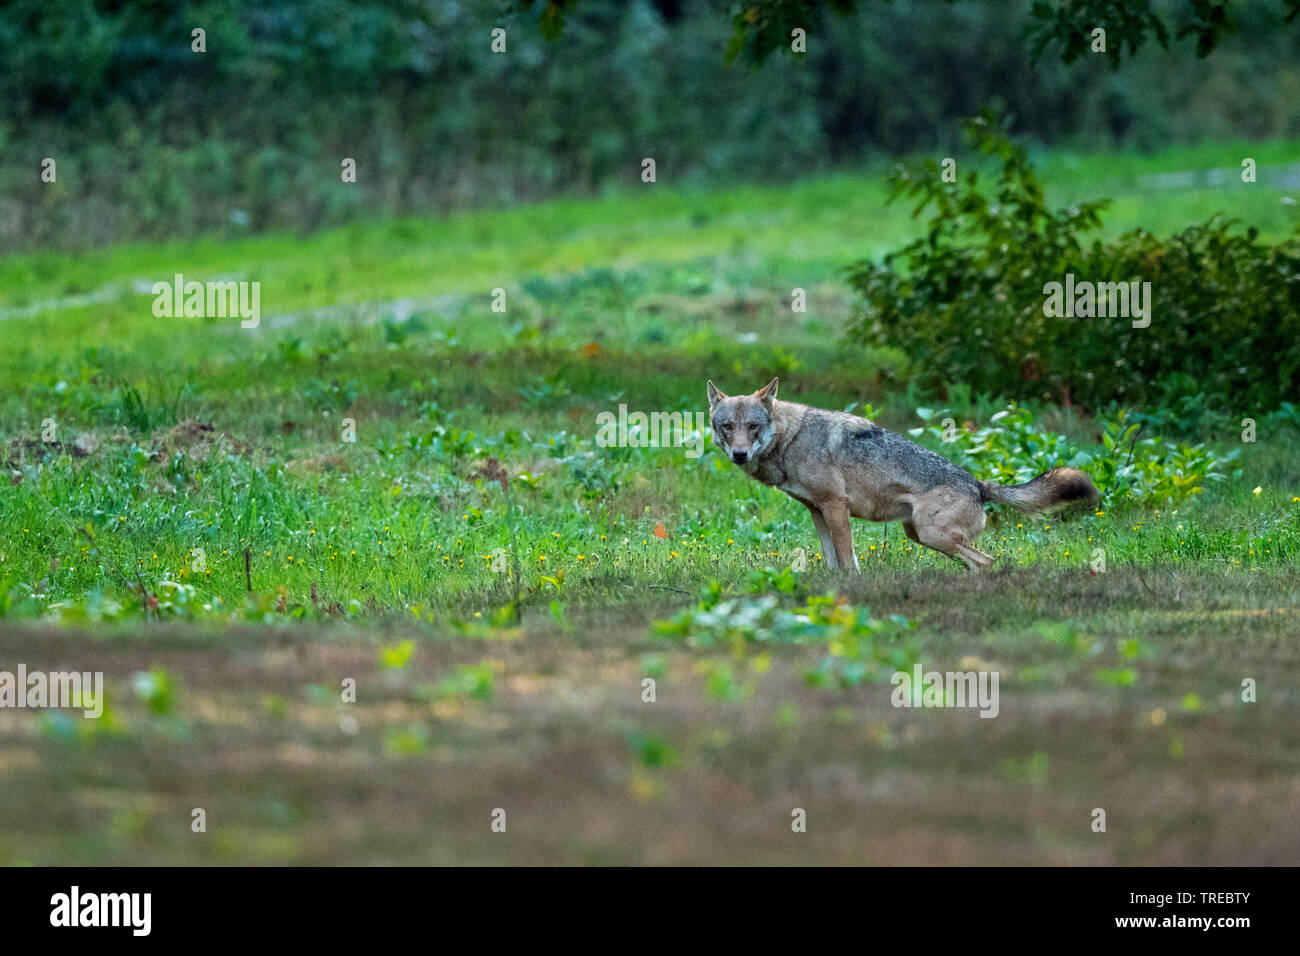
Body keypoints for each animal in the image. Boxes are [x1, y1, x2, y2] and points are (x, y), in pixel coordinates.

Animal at [707, 378, 1098, 570]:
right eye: (727, 427)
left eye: (753, 427)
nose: (739, 454)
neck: (792, 438)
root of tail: (976, 483)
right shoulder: (817, 510)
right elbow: (831, 562)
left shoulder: (836, 506)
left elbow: (848, 561)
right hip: (918, 534)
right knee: (980, 562)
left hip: (929, 534)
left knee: (986, 561)